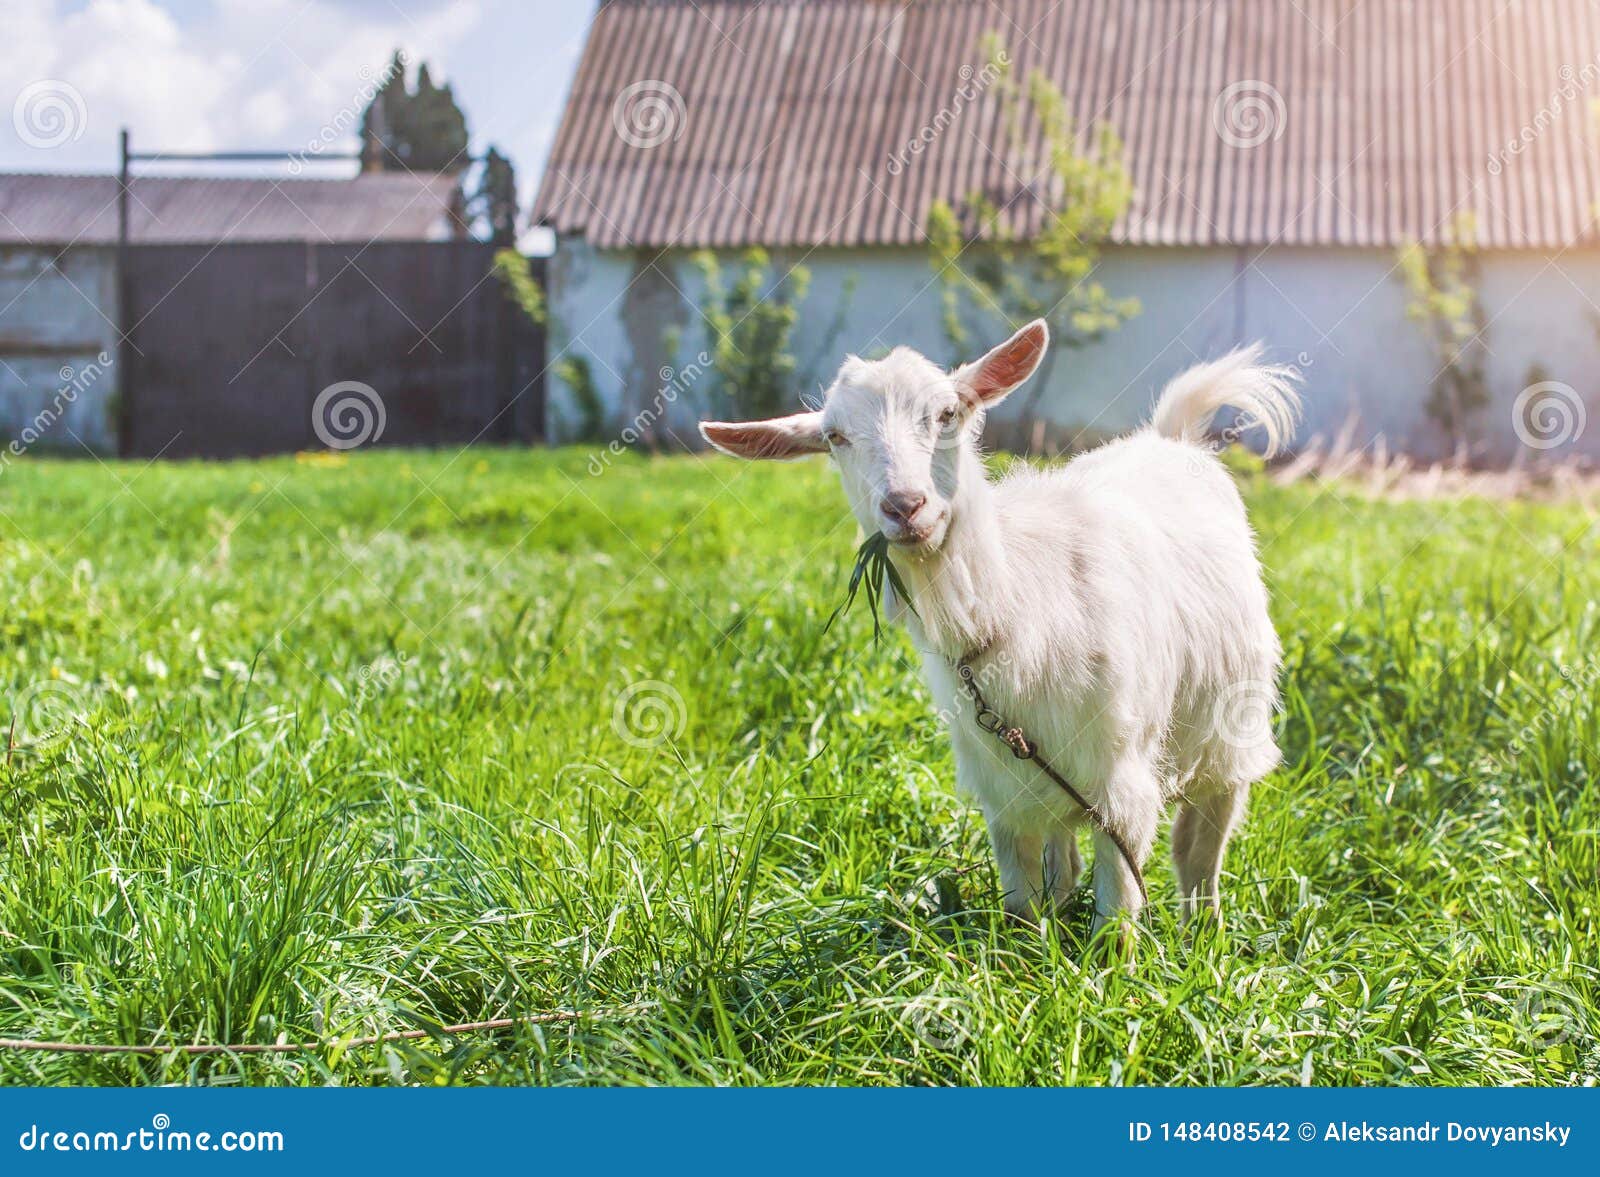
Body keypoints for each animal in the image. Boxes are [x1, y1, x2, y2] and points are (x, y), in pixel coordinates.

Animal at [700, 321, 1300, 936]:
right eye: (835, 436)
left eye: (946, 413)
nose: (905, 506)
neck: (1010, 608)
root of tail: (1169, 437)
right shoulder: (1004, 789)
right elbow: (1021, 902)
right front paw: (1032, 947)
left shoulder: (1121, 776)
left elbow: (1117, 907)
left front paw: (1116, 957)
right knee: (1067, 840)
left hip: (1230, 724)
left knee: (1201, 843)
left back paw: (1206, 931)